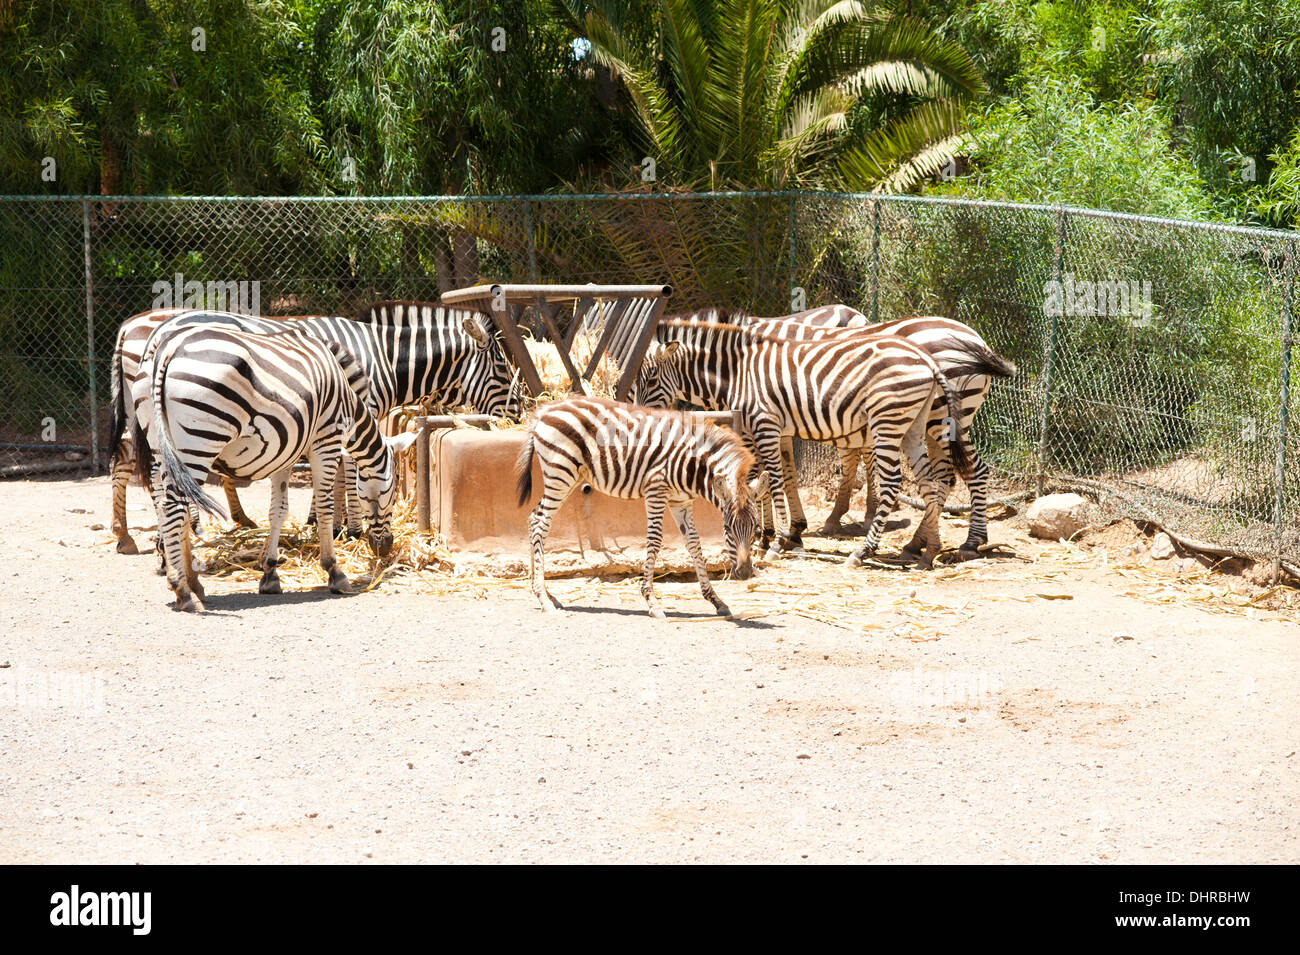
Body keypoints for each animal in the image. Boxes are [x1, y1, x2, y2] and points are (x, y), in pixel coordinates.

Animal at [108, 301, 520, 553]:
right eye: (503, 370)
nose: (519, 414)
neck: (383, 358)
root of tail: (139, 326)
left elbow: (334, 471)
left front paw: (325, 524)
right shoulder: (357, 409)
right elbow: (349, 472)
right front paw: (350, 528)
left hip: (146, 416)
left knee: (129, 460)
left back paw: (129, 535)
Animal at [137, 323, 415, 612]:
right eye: (396, 488)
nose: (385, 548)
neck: (347, 402)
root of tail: (169, 346)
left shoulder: (285, 453)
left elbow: (278, 511)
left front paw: (270, 573)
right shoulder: (325, 441)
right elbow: (324, 508)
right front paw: (335, 572)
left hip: (160, 444)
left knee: (164, 505)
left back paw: (194, 583)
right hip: (200, 438)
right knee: (174, 507)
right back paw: (182, 590)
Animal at [513, 396, 768, 618]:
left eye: (756, 530)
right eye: (727, 529)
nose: (745, 574)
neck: (693, 468)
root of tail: (544, 411)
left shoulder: (681, 502)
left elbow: (694, 545)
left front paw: (716, 600)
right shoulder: (656, 491)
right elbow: (655, 541)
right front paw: (652, 602)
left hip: (570, 476)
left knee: (533, 518)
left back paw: (545, 593)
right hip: (560, 473)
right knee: (540, 523)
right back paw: (544, 599)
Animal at [628, 319, 999, 568]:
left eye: (650, 379)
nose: (642, 417)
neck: (737, 373)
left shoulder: (765, 424)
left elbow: (775, 481)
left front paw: (777, 540)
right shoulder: (764, 430)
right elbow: (760, 481)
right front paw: (769, 536)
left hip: (903, 420)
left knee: (911, 481)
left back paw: (873, 551)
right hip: (916, 424)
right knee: (932, 482)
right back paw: (925, 549)